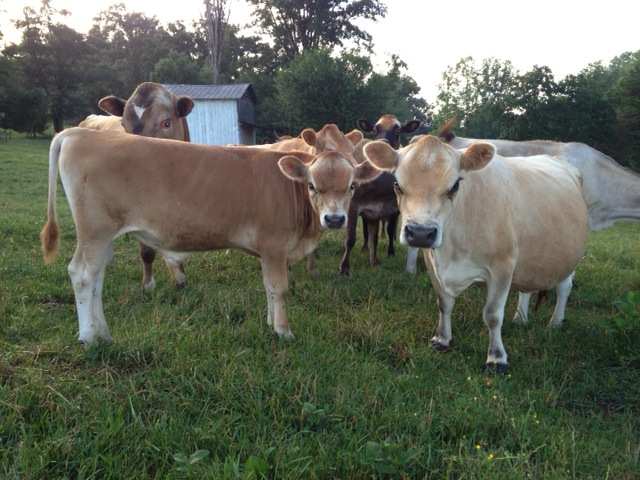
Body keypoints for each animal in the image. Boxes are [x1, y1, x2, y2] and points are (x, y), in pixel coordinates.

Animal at [40, 128, 382, 347]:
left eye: (352, 185)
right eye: (312, 185)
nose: (335, 219)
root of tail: (78, 133)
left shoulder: (268, 251)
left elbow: (268, 288)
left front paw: (271, 324)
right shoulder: (274, 244)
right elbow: (280, 289)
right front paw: (283, 332)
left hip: (102, 235)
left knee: (96, 279)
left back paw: (103, 333)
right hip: (95, 231)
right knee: (82, 275)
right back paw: (90, 338)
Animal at [338, 115, 421, 275]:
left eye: (398, 130)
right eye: (375, 129)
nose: (382, 143)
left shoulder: (388, 209)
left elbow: (380, 236)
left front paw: (378, 260)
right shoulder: (353, 206)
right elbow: (350, 238)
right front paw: (344, 267)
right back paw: (363, 247)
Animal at [363, 135, 589, 373]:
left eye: (455, 185)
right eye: (396, 183)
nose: (421, 233)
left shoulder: (502, 266)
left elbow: (492, 315)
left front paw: (497, 359)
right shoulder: (433, 263)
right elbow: (444, 303)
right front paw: (441, 340)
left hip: (570, 258)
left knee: (564, 288)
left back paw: (555, 322)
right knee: (525, 290)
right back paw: (520, 318)